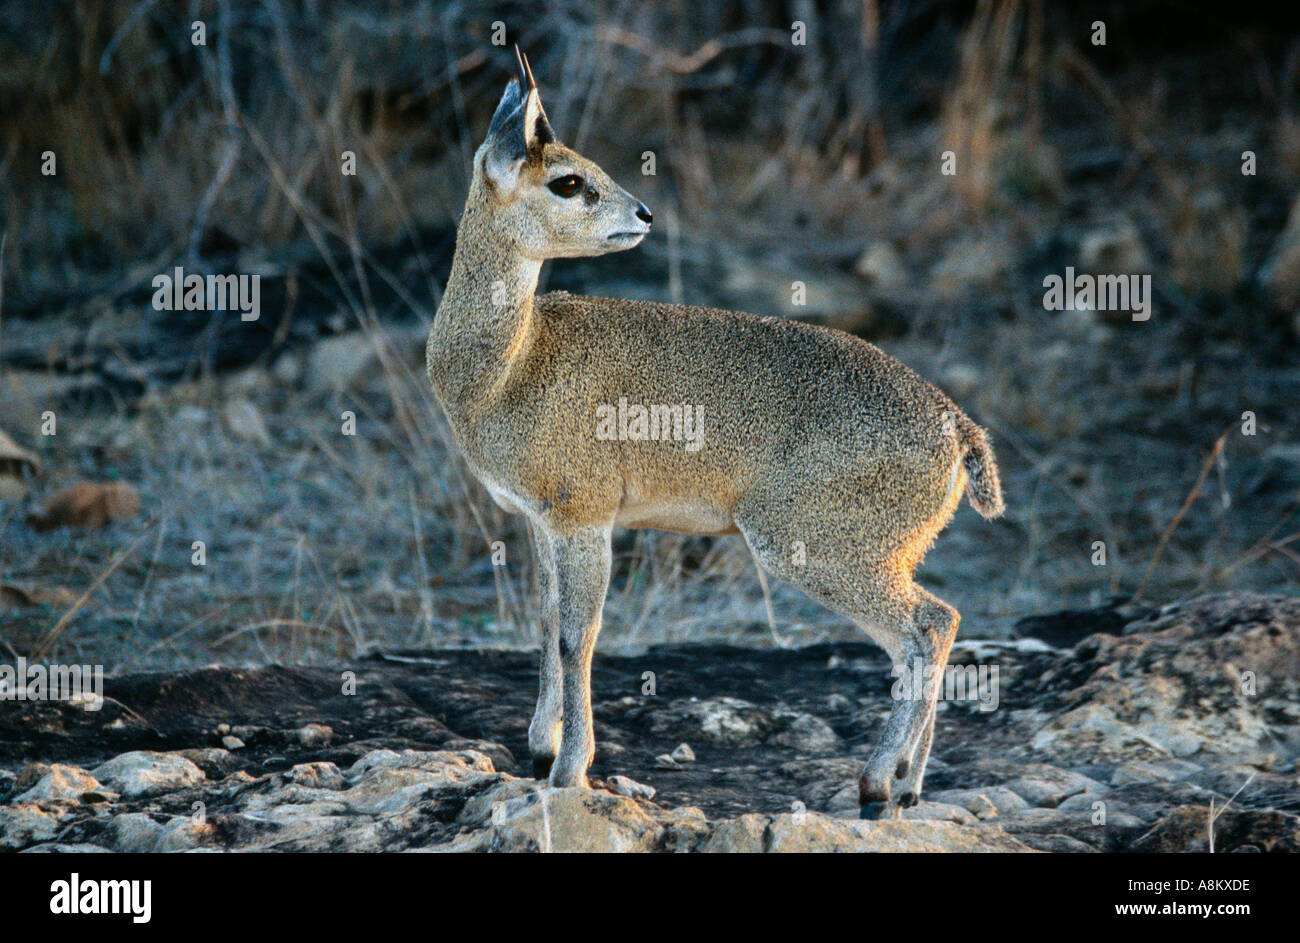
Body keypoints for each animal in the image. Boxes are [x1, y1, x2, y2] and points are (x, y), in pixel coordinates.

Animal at [426, 50, 1004, 819]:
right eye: (568, 180)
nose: (643, 214)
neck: (512, 364)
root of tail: (957, 426)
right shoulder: (541, 523)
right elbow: (547, 626)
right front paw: (541, 750)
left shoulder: (585, 519)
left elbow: (581, 636)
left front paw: (569, 772)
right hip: (880, 551)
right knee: (935, 628)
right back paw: (907, 786)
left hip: (815, 546)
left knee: (929, 625)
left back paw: (878, 782)